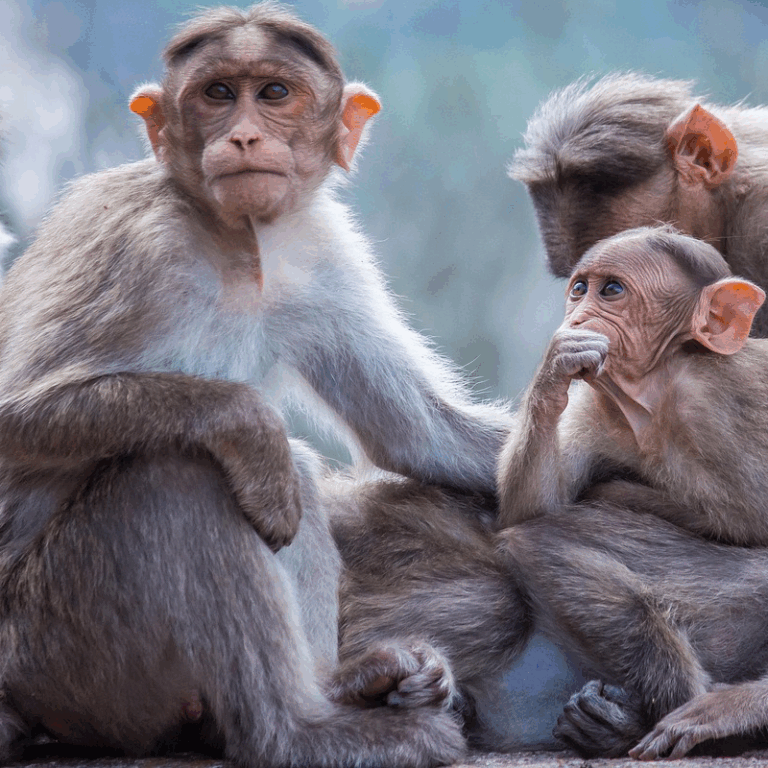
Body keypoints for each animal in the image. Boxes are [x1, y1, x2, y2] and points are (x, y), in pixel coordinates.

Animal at [0, 3, 521, 763]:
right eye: (218, 94)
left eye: (275, 94)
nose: (245, 134)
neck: (230, 240)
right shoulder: (130, 240)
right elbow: (16, 410)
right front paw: (244, 421)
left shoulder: (320, 249)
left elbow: (416, 433)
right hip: (60, 652)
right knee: (185, 475)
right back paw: (297, 734)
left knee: (280, 475)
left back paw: (345, 687)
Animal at [497, 225, 768, 547]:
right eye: (579, 289)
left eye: (612, 290)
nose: (577, 320)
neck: (654, 389)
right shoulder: (592, 407)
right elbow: (536, 508)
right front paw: (556, 364)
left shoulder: (710, 403)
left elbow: (748, 521)